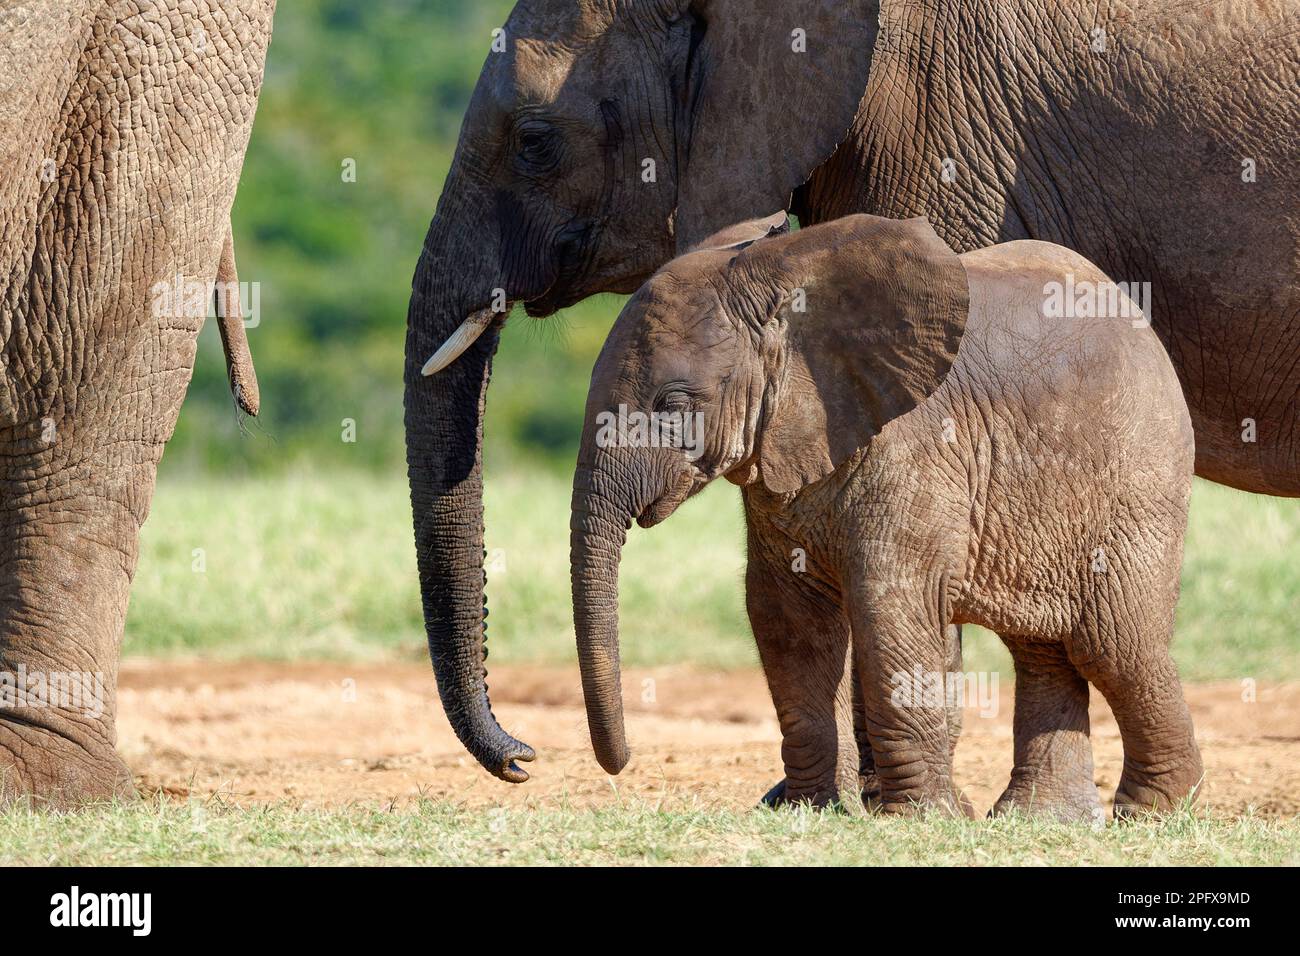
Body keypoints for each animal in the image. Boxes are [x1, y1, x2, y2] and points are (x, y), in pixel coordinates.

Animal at [569, 213, 1203, 819]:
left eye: (673, 406)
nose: (623, 763)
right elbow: (785, 616)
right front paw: (810, 809)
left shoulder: (914, 444)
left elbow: (886, 602)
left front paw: (918, 818)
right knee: (1042, 649)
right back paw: (1039, 820)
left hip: (1139, 482)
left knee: (1113, 646)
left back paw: (1154, 814)